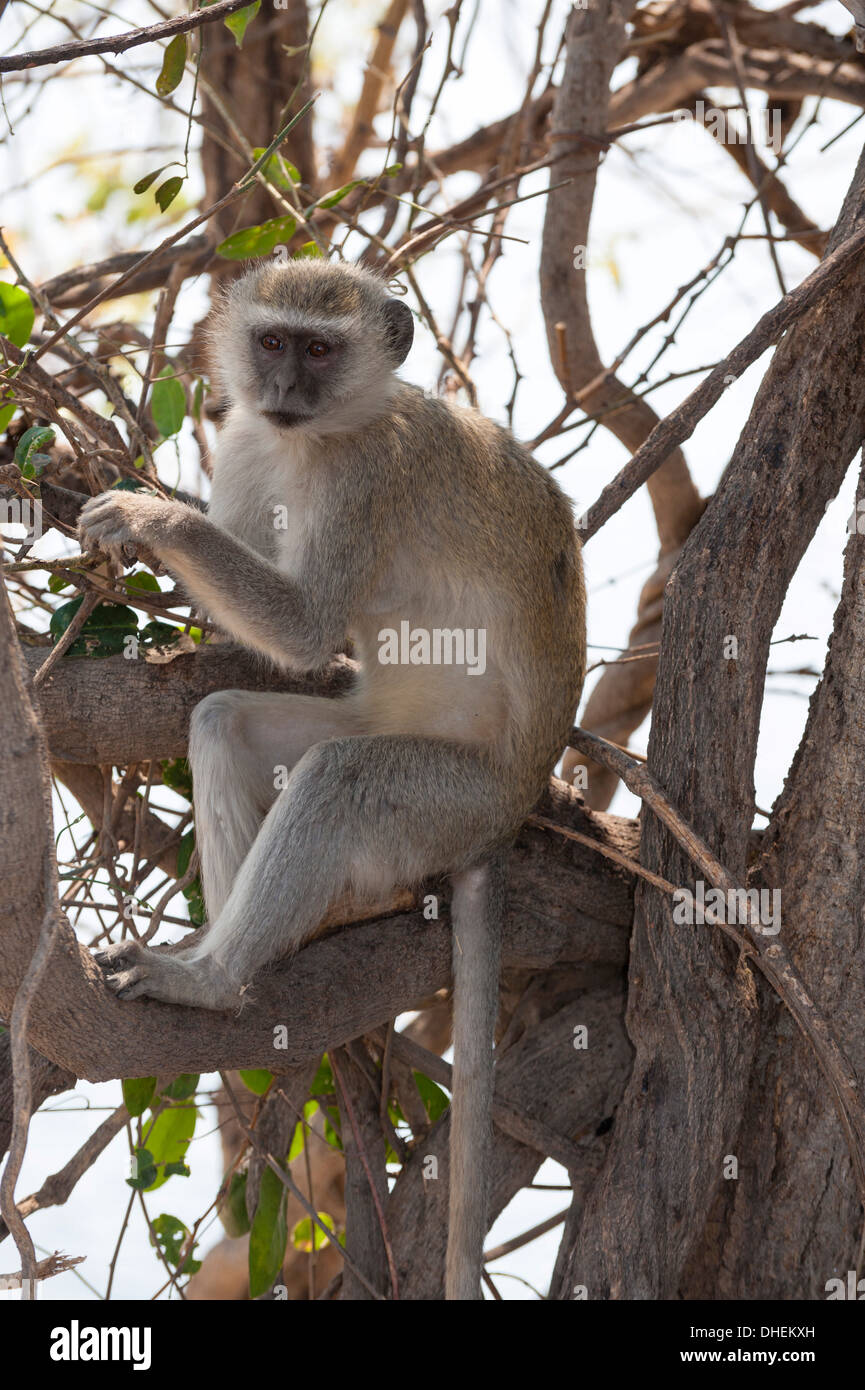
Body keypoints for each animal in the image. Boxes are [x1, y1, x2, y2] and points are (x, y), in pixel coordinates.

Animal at [78, 258, 586, 1300]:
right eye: (272, 341)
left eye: (319, 349)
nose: (282, 387)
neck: (318, 434)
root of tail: (507, 816)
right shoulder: (246, 438)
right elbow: (247, 641)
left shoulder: (364, 477)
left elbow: (306, 627)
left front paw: (148, 514)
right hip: (377, 733)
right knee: (226, 722)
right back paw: (220, 950)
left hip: (442, 802)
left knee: (340, 779)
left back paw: (216, 983)